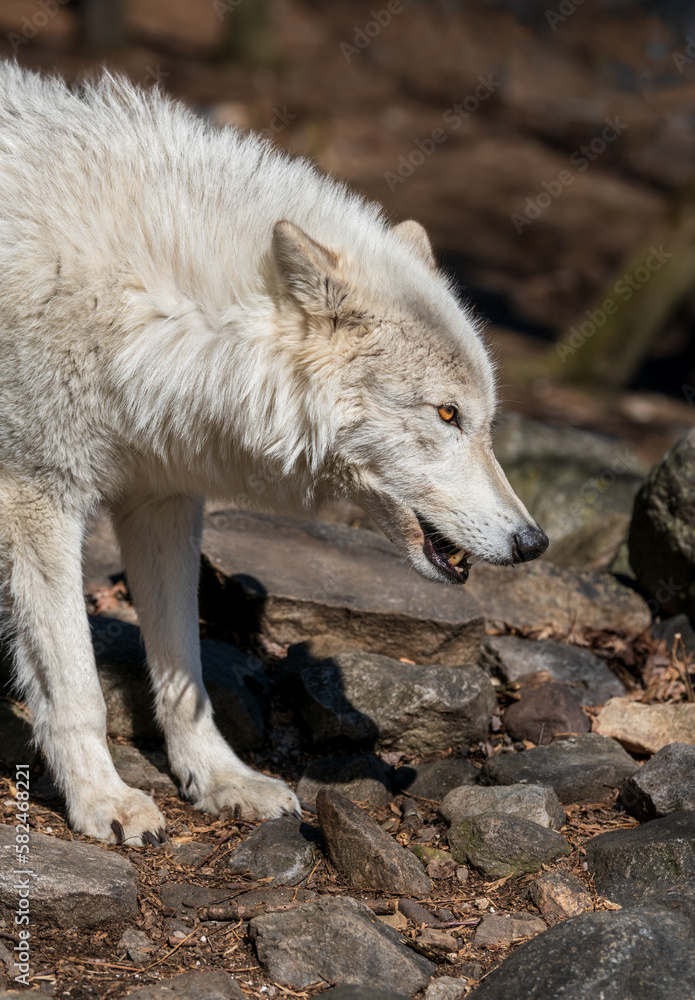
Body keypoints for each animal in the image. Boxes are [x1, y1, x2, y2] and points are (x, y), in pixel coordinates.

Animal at [0, 63, 547, 845]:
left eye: (485, 422)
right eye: (448, 415)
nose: (533, 542)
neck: (158, 310)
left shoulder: (163, 499)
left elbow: (185, 672)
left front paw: (219, 780)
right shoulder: (37, 495)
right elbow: (76, 684)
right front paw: (102, 801)